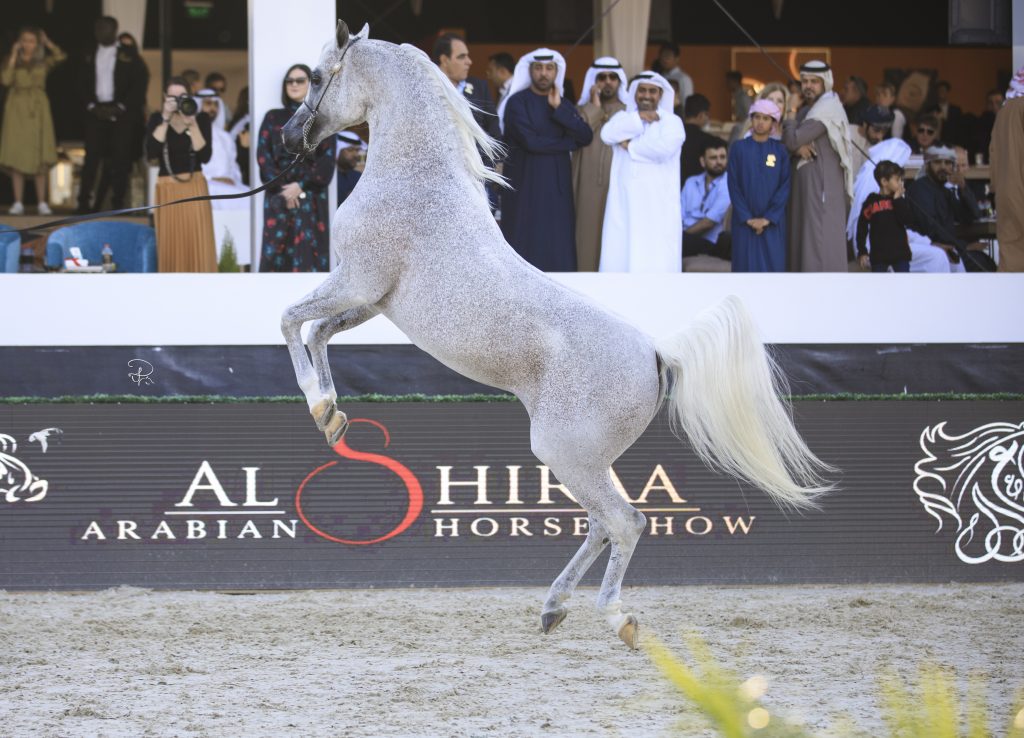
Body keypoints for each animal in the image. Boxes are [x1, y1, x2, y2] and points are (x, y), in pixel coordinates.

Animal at [278, 21, 834, 649]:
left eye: (315, 76)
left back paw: (617, 617)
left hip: (565, 452)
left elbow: (292, 320)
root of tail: (657, 354)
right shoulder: (372, 301)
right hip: (587, 459)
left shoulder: (357, 281)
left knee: (625, 521)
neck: (418, 179)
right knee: (600, 524)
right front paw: (332, 418)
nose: (288, 137)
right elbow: (318, 332)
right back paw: (552, 607)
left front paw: (319, 403)